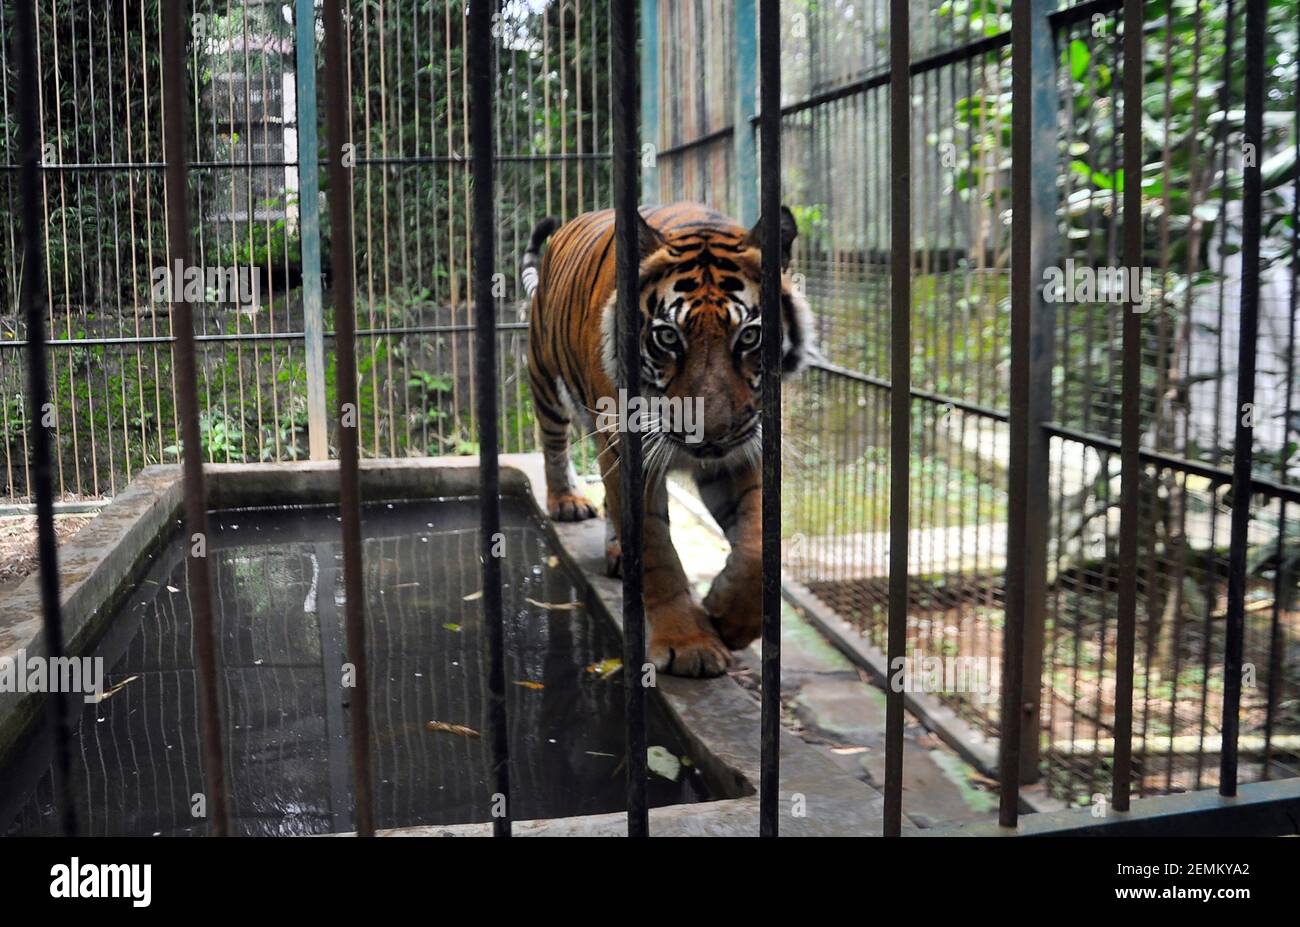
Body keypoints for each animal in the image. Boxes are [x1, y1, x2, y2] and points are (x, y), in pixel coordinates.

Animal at [521, 202, 812, 677]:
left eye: (749, 336)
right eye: (668, 337)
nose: (710, 432)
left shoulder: (744, 447)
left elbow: (756, 546)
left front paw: (730, 619)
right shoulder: (629, 451)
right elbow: (657, 549)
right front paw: (688, 644)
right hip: (545, 378)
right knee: (553, 444)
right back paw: (567, 502)